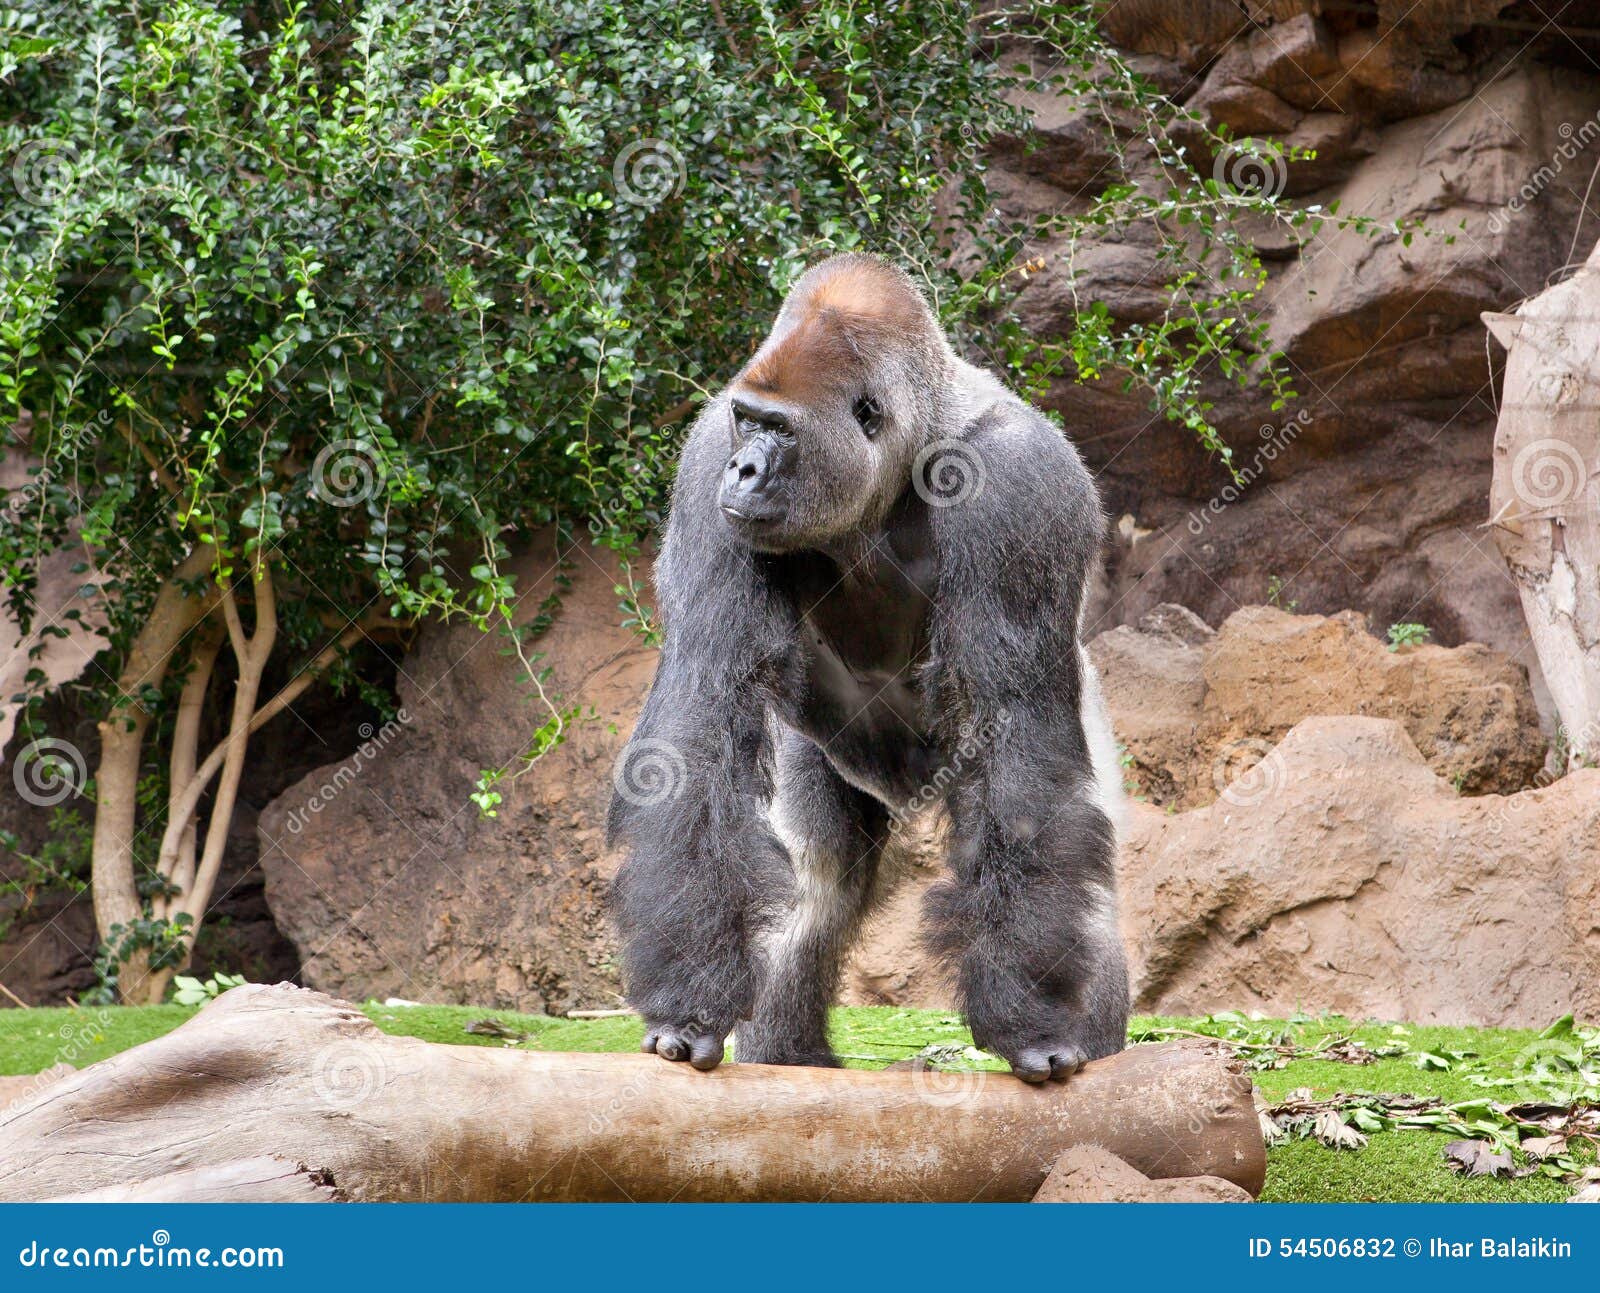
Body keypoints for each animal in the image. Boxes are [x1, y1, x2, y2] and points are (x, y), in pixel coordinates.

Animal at [606, 253, 1128, 1083]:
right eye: (748, 419)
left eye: (780, 429)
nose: (743, 469)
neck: (906, 454)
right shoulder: (704, 459)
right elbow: (702, 714)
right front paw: (688, 1005)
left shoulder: (1022, 483)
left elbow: (1016, 739)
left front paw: (1031, 1020)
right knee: (816, 875)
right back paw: (789, 1054)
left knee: (1086, 868)